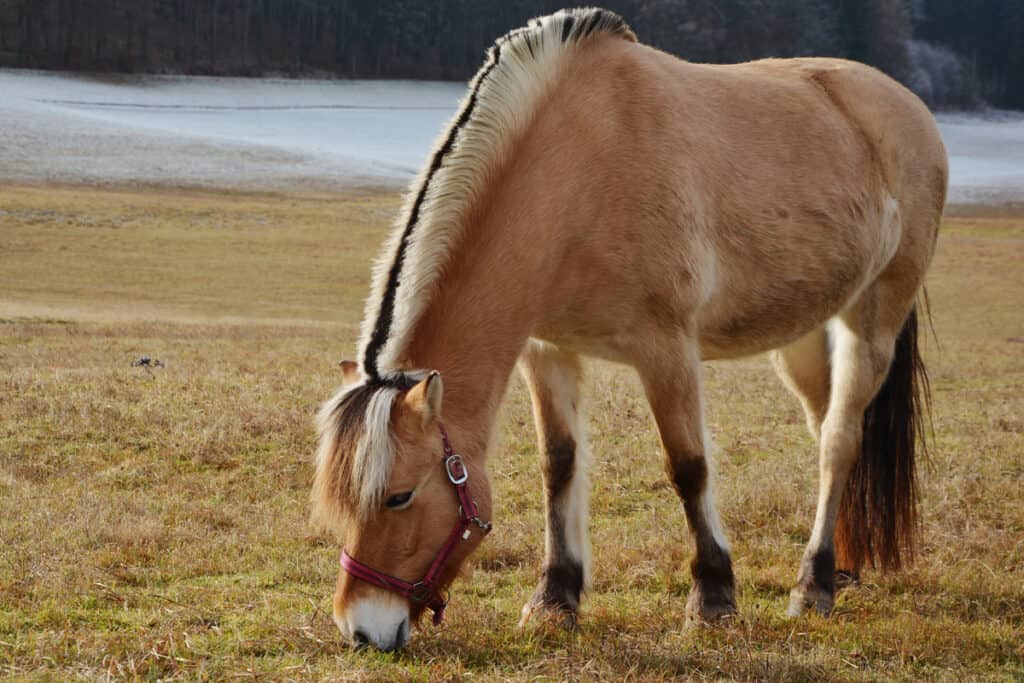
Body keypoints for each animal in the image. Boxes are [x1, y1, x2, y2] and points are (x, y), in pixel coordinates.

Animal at [312, 7, 946, 651]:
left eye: (399, 496)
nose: (361, 628)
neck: (580, 169)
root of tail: (906, 106)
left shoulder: (666, 349)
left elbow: (688, 467)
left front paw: (713, 600)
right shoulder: (547, 350)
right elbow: (559, 465)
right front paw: (554, 599)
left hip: (871, 319)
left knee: (840, 441)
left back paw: (812, 586)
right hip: (804, 337)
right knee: (828, 433)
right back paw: (842, 566)